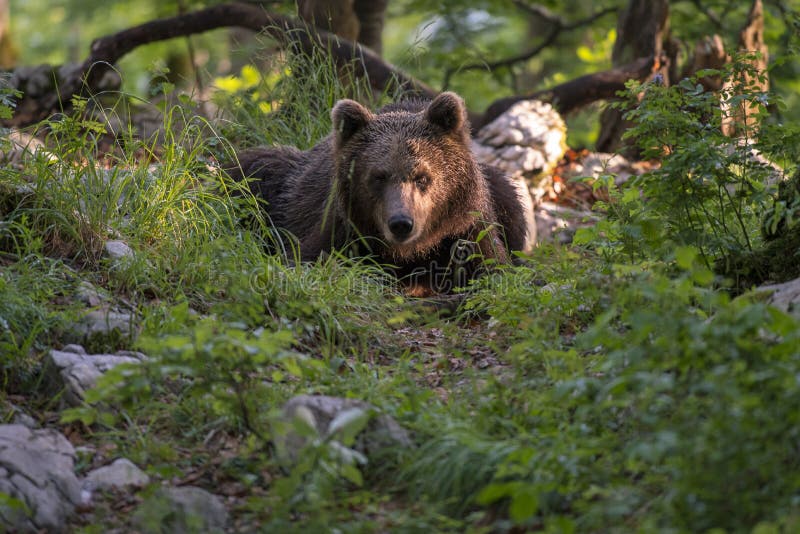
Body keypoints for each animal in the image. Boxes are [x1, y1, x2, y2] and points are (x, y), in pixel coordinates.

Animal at [228, 91, 531, 295]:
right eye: (378, 176)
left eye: (422, 177)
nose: (401, 223)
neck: (410, 253)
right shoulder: (341, 228)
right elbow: (309, 259)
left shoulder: (465, 228)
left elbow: (489, 268)